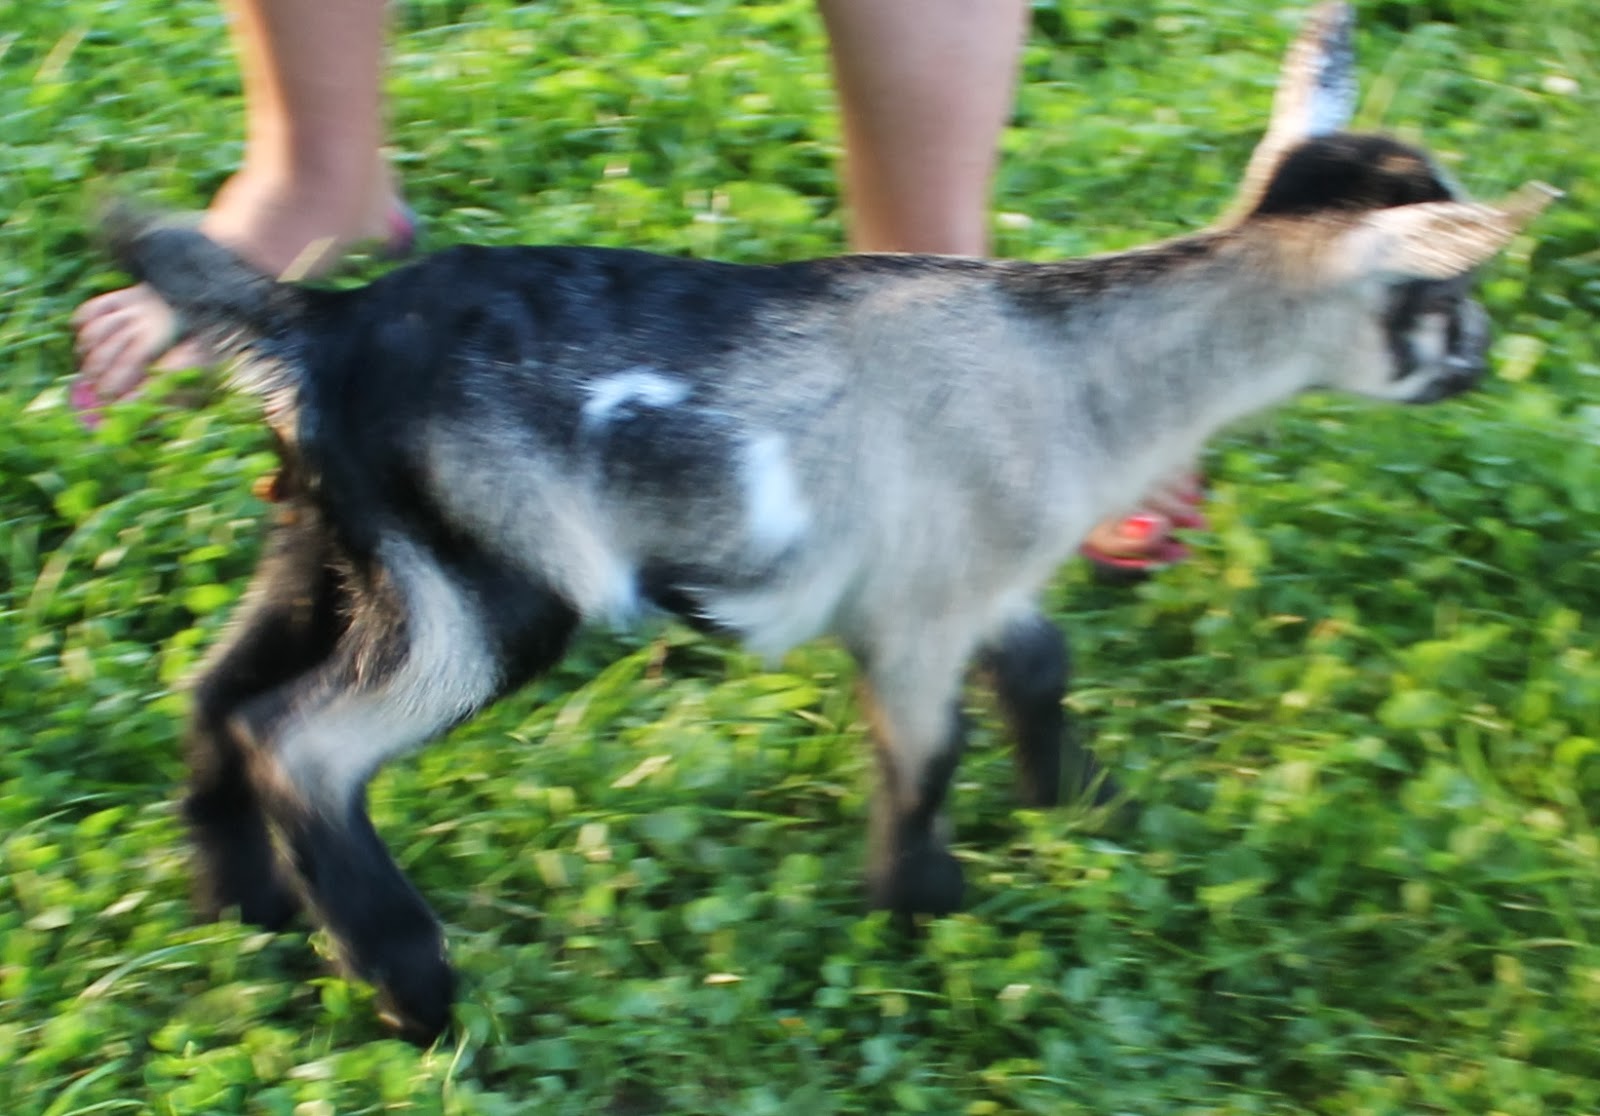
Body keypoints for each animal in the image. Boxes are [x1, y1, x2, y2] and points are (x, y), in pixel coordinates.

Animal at [99, 2, 1551, 1041]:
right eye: (1445, 294)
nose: (1484, 359)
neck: (1080, 368)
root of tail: (321, 329)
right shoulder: (915, 614)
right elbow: (927, 752)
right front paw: (925, 916)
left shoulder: (975, 573)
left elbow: (1040, 667)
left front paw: (1087, 809)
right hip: (492, 580)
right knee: (305, 744)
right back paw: (420, 995)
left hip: (340, 549)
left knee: (221, 696)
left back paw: (247, 910)